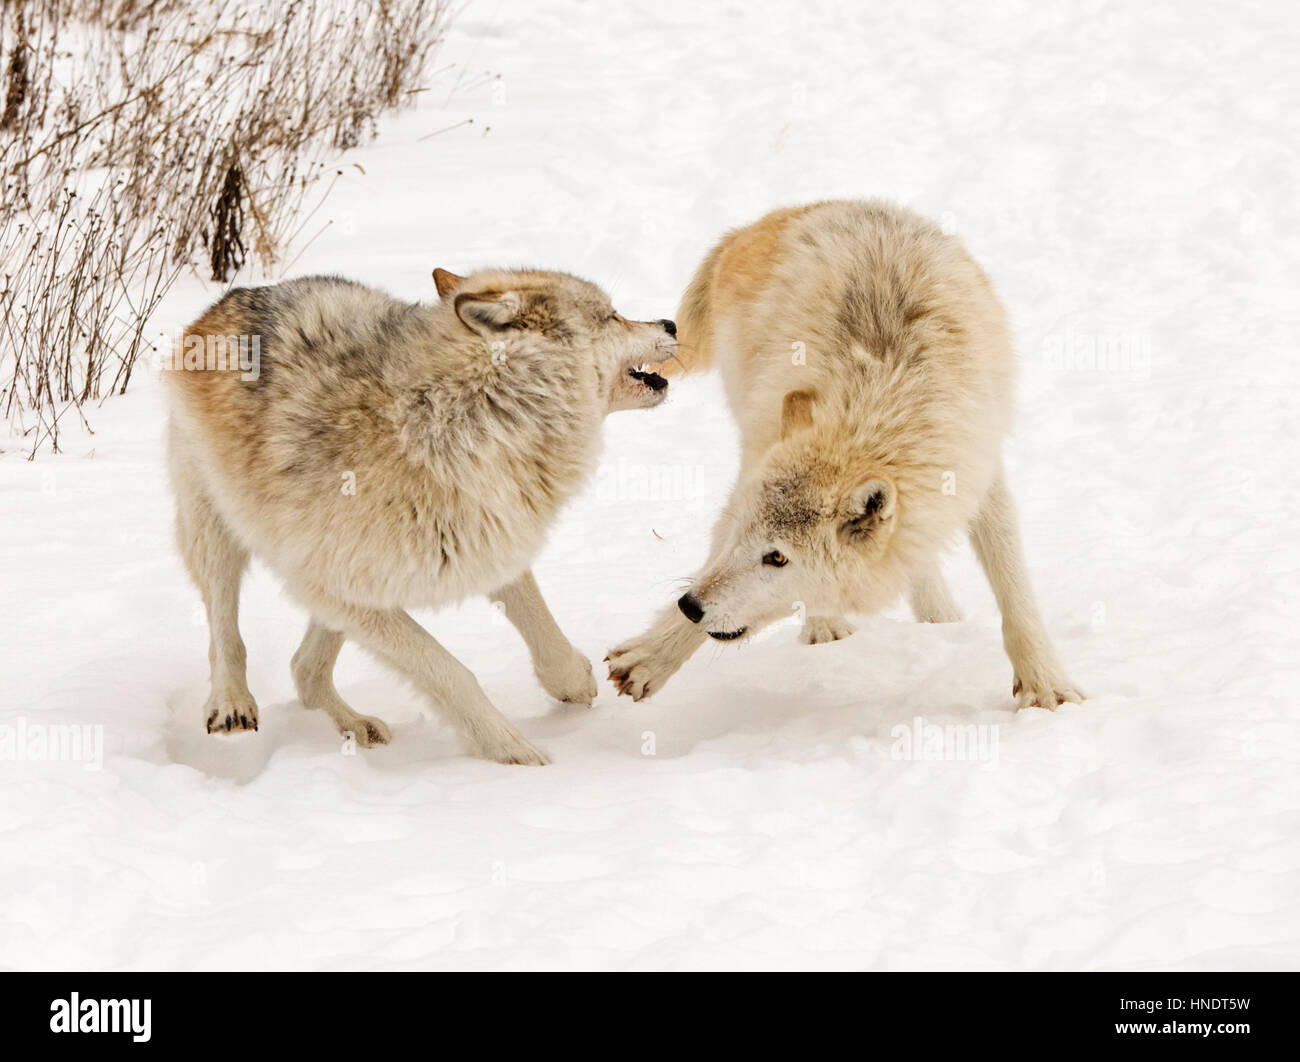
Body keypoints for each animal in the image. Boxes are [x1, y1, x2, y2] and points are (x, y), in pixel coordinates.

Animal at [166, 267, 676, 765]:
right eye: (611, 316)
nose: (670, 324)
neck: (464, 423)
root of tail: (236, 295)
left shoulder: (487, 538)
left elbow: (542, 625)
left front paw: (571, 681)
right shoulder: (346, 590)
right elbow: (451, 673)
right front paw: (514, 751)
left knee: (304, 670)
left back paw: (356, 726)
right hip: (221, 535)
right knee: (226, 636)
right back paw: (231, 704)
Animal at [607, 200, 1083, 710]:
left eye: (777, 558)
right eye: (744, 537)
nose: (690, 606)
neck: (879, 410)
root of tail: (770, 218)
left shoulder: (980, 473)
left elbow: (1015, 591)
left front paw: (1045, 685)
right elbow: (709, 561)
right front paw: (651, 656)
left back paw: (937, 618)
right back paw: (829, 624)